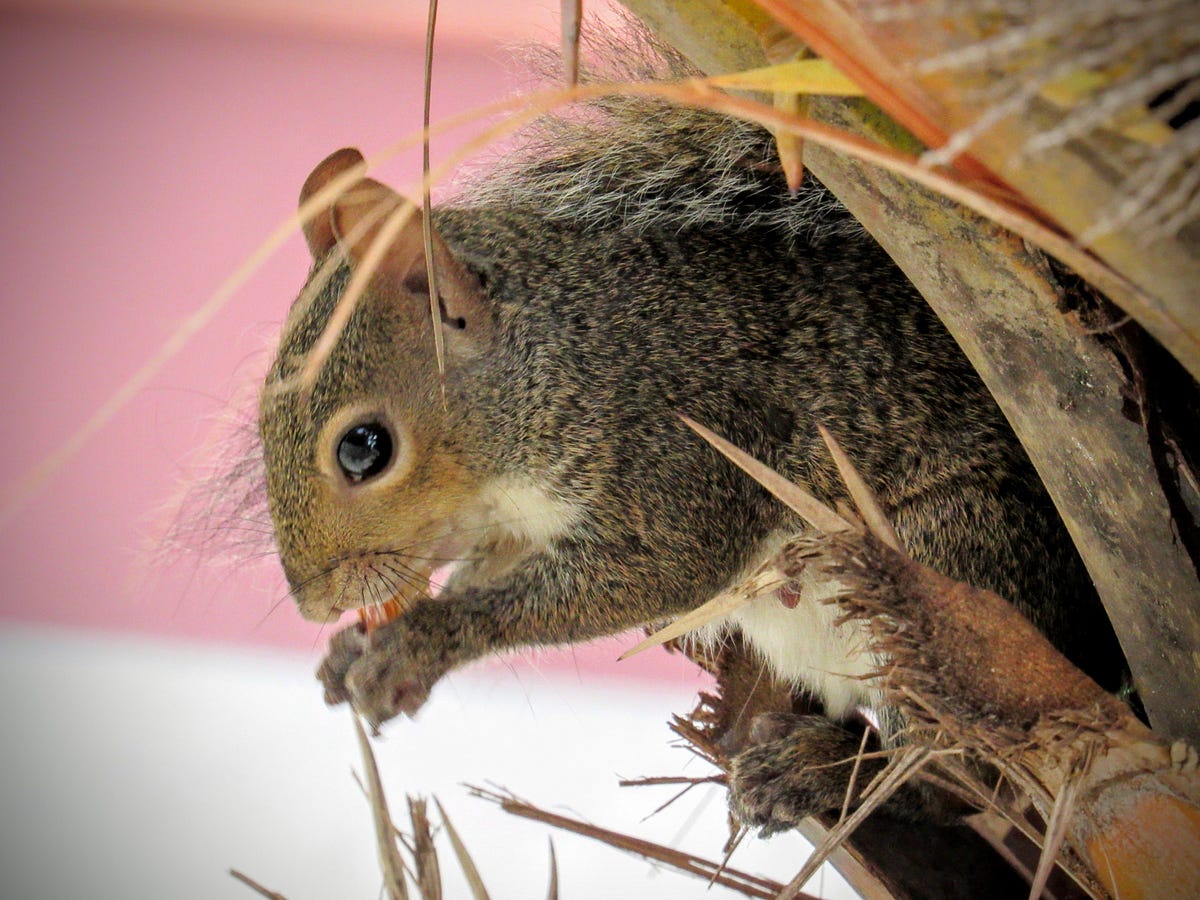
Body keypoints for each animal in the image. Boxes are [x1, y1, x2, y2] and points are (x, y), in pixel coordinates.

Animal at [257, 38, 1130, 836]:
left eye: (363, 448)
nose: (312, 603)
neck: (558, 351)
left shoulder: (684, 446)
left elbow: (657, 572)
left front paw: (422, 643)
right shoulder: (521, 519)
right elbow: (491, 566)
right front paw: (353, 652)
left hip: (949, 587)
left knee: (958, 776)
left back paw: (818, 771)